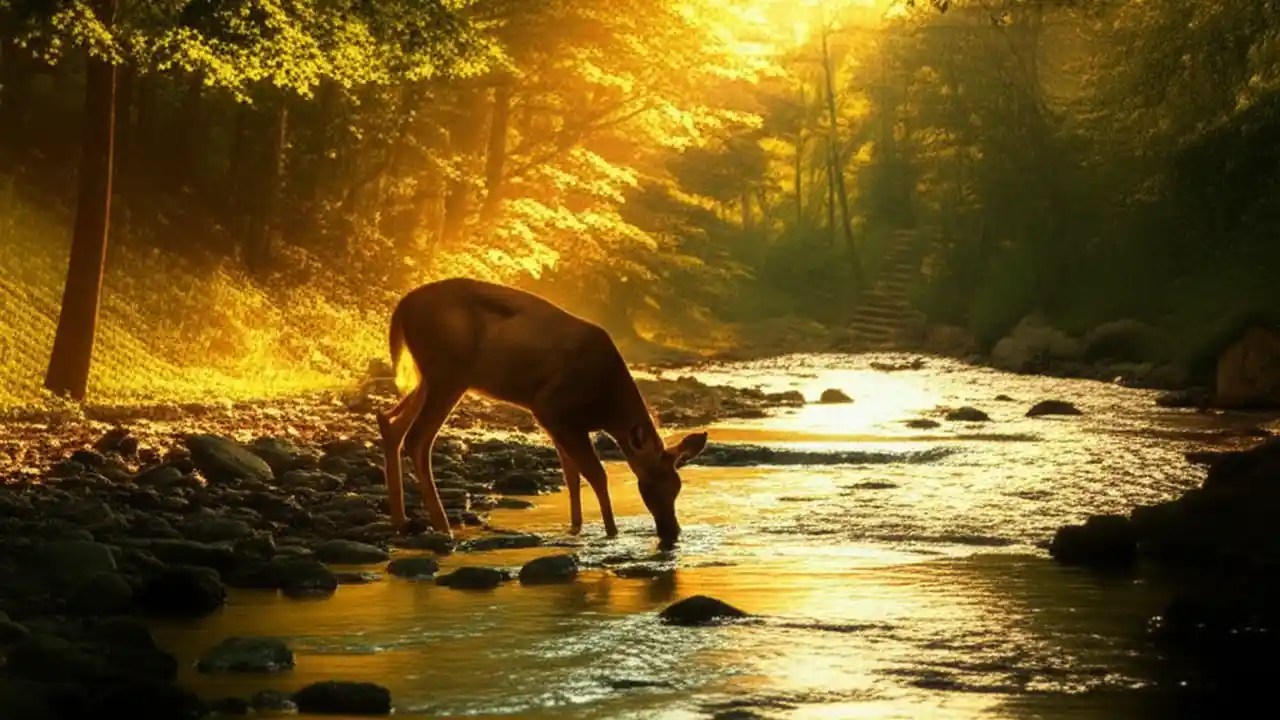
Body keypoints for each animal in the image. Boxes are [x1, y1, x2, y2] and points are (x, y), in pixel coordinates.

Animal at [375, 277, 709, 547]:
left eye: (678, 487)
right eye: (652, 485)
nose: (671, 531)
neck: (606, 405)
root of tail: (400, 308)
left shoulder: (560, 420)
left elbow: (571, 475)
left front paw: (576, 527)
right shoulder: (550, 406)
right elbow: (596, 474)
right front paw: (611, 533)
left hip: (431, 376)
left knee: (390, 422)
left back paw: (402, 522)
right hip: (448, 372)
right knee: (417, 438)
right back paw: (443, 526)